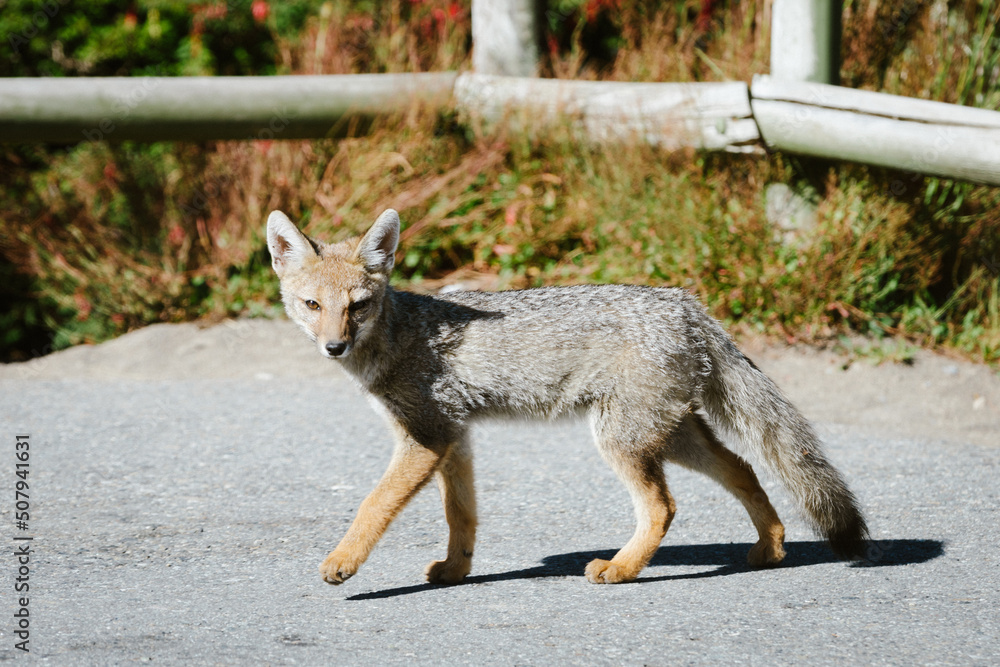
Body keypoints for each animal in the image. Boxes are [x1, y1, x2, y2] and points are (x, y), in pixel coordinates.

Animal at [266, 208, 869, 586]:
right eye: (313, 305)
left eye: (358, 306)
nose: (335, 346)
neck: (399, 335)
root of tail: (686, 304)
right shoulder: (454, 439)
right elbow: (461, 515)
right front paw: (456, 570)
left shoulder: (425, 439)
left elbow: (372, 505)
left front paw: (343, 562)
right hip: (671, 438)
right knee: (744, 469)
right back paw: (770, 549)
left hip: (622, 440)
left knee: (663, 506)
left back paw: (621, 569)